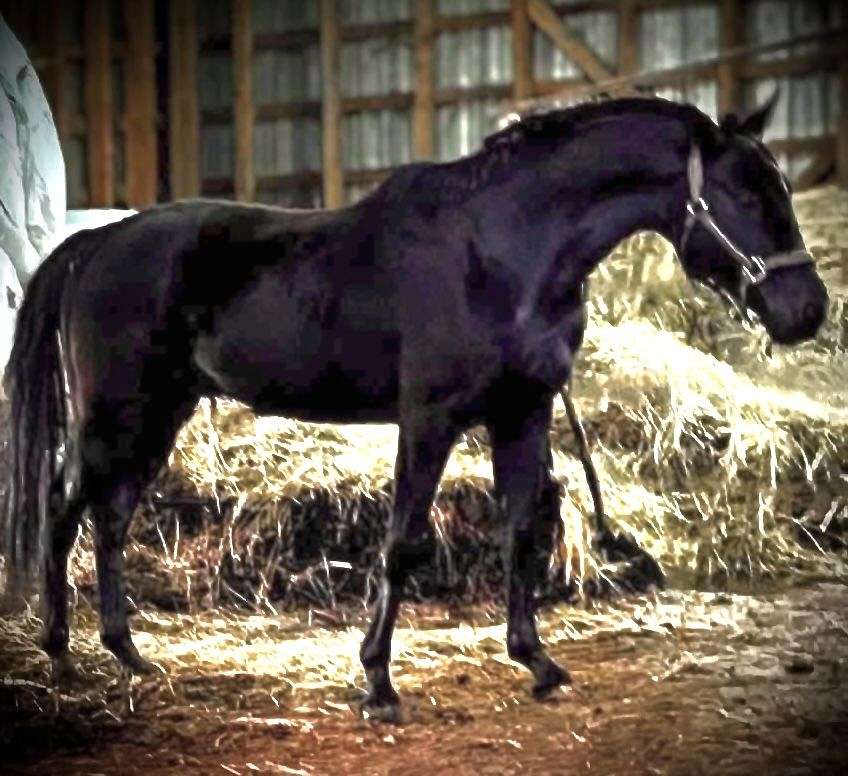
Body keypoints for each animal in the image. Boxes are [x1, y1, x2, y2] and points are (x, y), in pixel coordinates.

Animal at [2, 95, 827, 720]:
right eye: (746, 195)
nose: (808, 310)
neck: (502, 250)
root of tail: (100, 239)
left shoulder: (523, 413)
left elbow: (521, 531)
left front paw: (536, 662)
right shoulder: (429, 420)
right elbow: (402, 544)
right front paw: (377, 683)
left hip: (157, 416)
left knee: (110, 519)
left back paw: (127, 654)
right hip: (114, 415)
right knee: (65, 509)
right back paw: (61, 656)